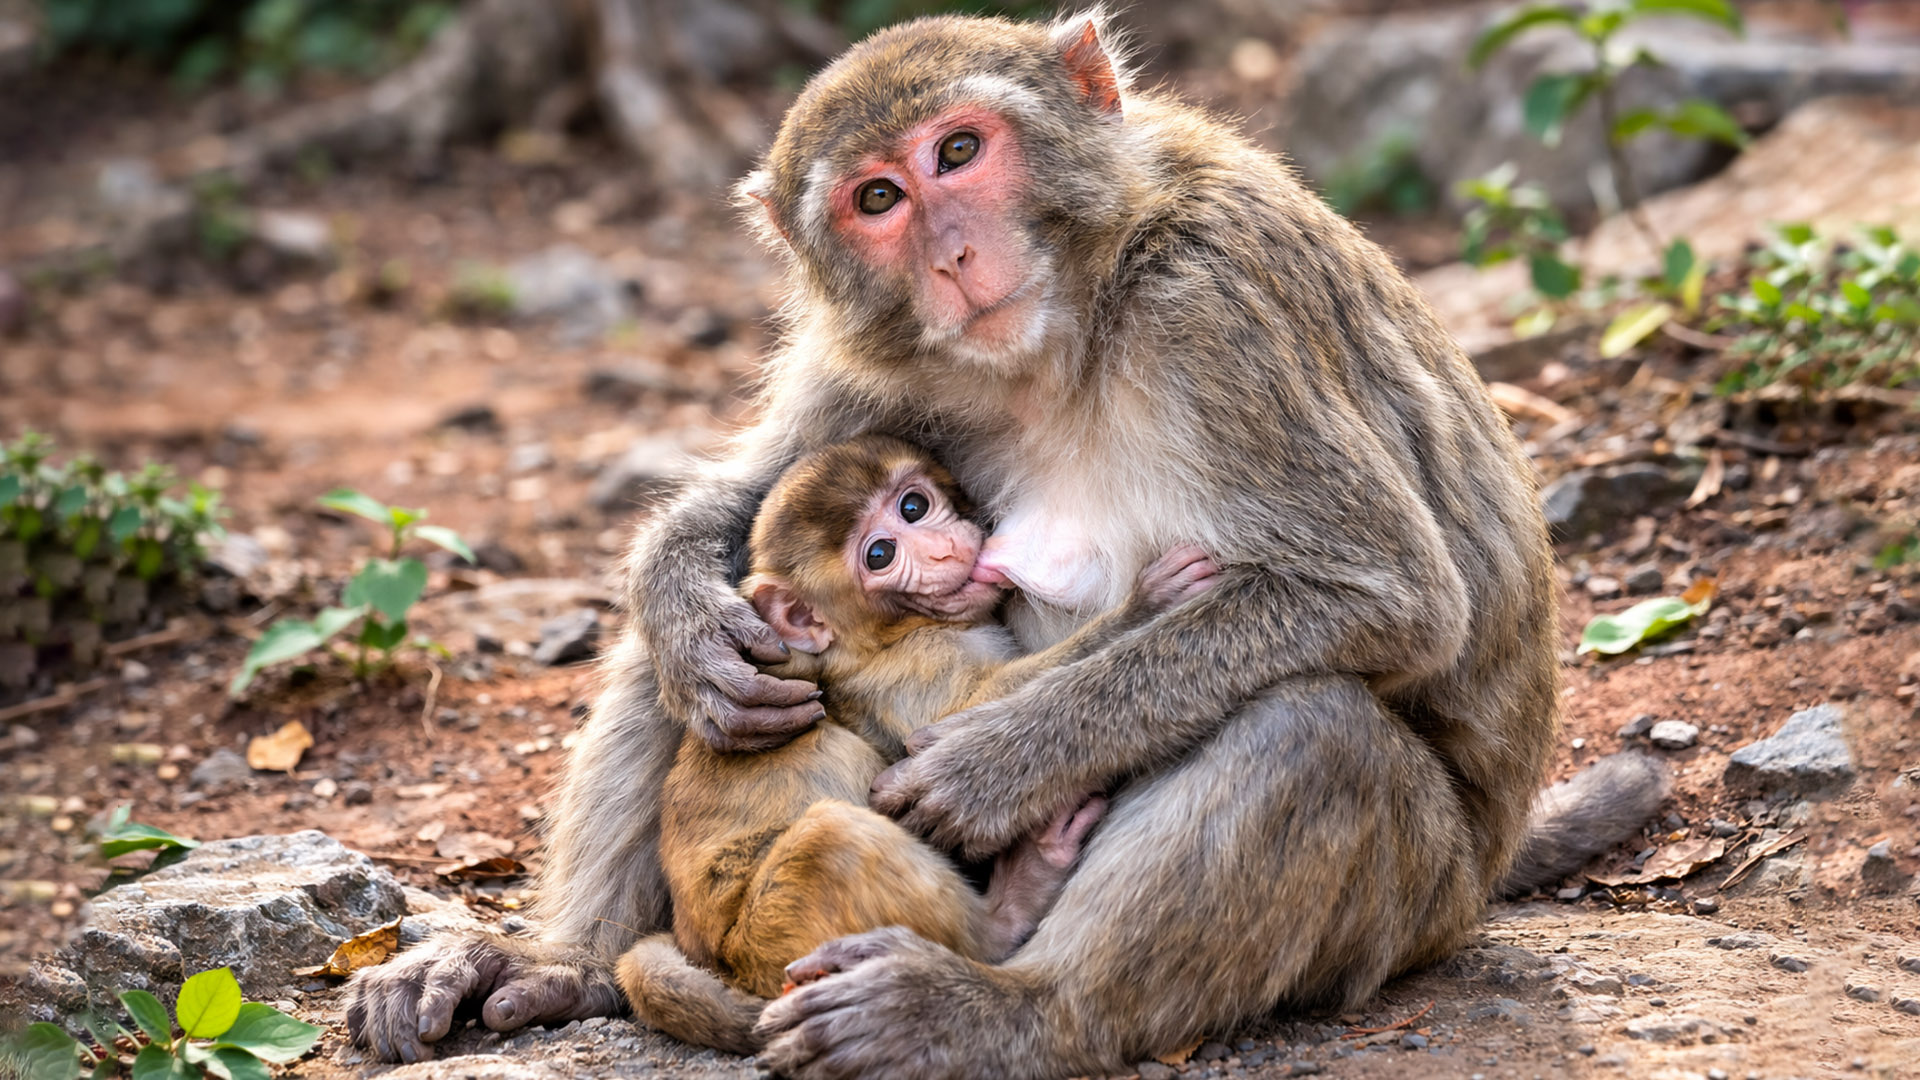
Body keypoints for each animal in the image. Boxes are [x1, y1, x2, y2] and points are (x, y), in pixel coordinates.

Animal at [620, 433, 1218, 1053]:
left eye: (913, 506)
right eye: (880, 555)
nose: (941, 549)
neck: (882, 637)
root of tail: (716, 961)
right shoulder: (906, 672)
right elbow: (951, 723)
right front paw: (1146, 605)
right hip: (773, 938)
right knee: (835, 839)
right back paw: (1010, 907)